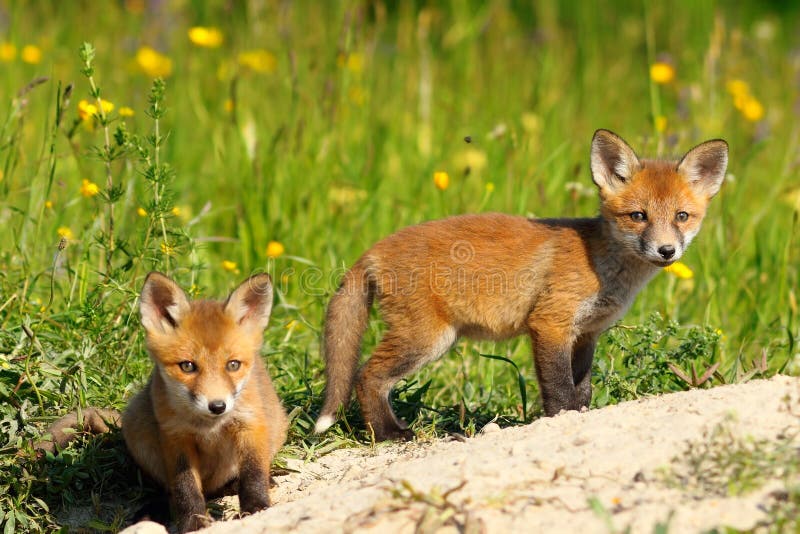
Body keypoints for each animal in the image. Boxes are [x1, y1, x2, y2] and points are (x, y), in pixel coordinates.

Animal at [314, 129, 728, 441]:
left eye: (682, 216)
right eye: (638, 216)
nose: (666, 250)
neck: (602, 263)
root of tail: (372, 250)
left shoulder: (586, 334)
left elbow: (582, 387)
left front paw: (581, 413)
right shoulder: (549, 323)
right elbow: (559, 387)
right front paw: (561, 418)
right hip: (427, 339)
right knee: (367, 376)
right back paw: (389, 434)